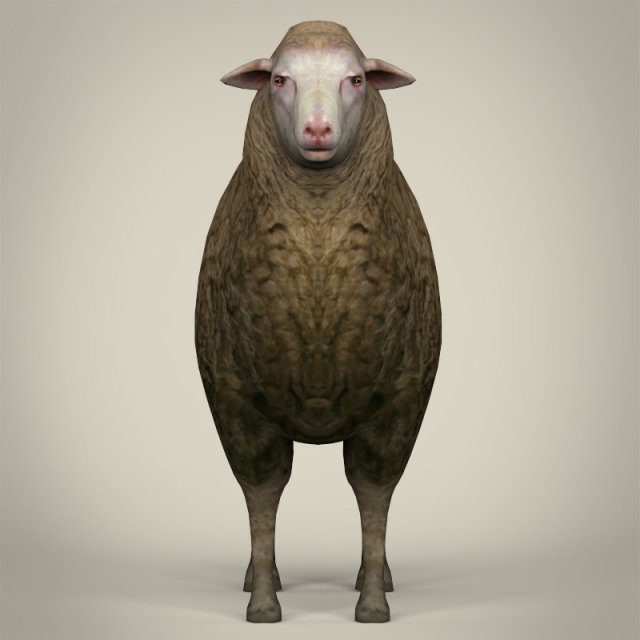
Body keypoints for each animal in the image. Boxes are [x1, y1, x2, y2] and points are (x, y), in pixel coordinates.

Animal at [195, 20, 441, 623]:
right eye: (280, 79)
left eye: (356, 79)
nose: (318, 128)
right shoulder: (235, 400)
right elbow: (262, 496)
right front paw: (263, 602)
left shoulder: (401, 401)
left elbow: (373, 496)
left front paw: (373, 602)